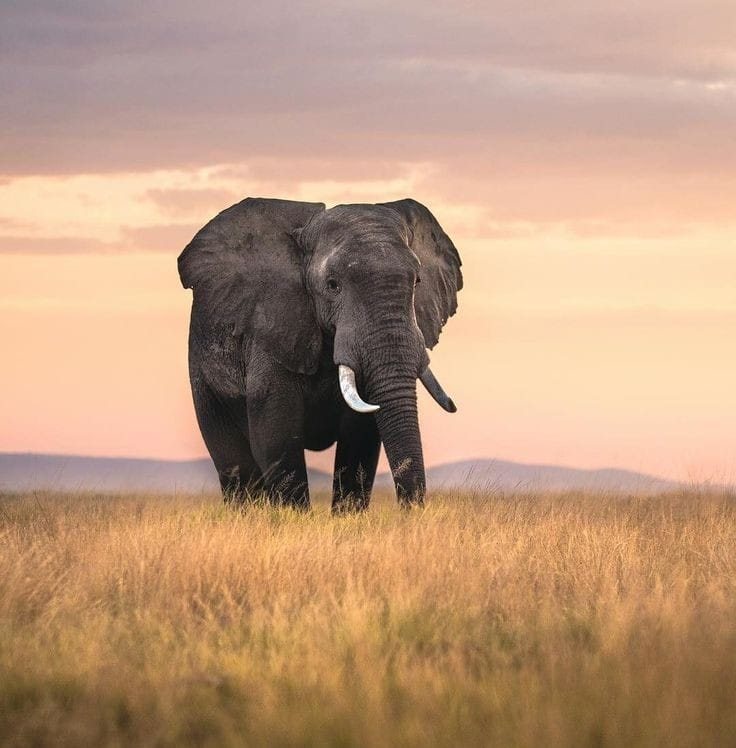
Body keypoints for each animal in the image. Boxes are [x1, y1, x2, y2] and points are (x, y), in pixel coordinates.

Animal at [178, 197, 462, 511]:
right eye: (332, 285)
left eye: (417, 282)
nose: (409, 513)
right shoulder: (272, 324)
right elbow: (276, 435)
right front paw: (293, 517)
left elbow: (360, 439)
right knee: (236, 465)